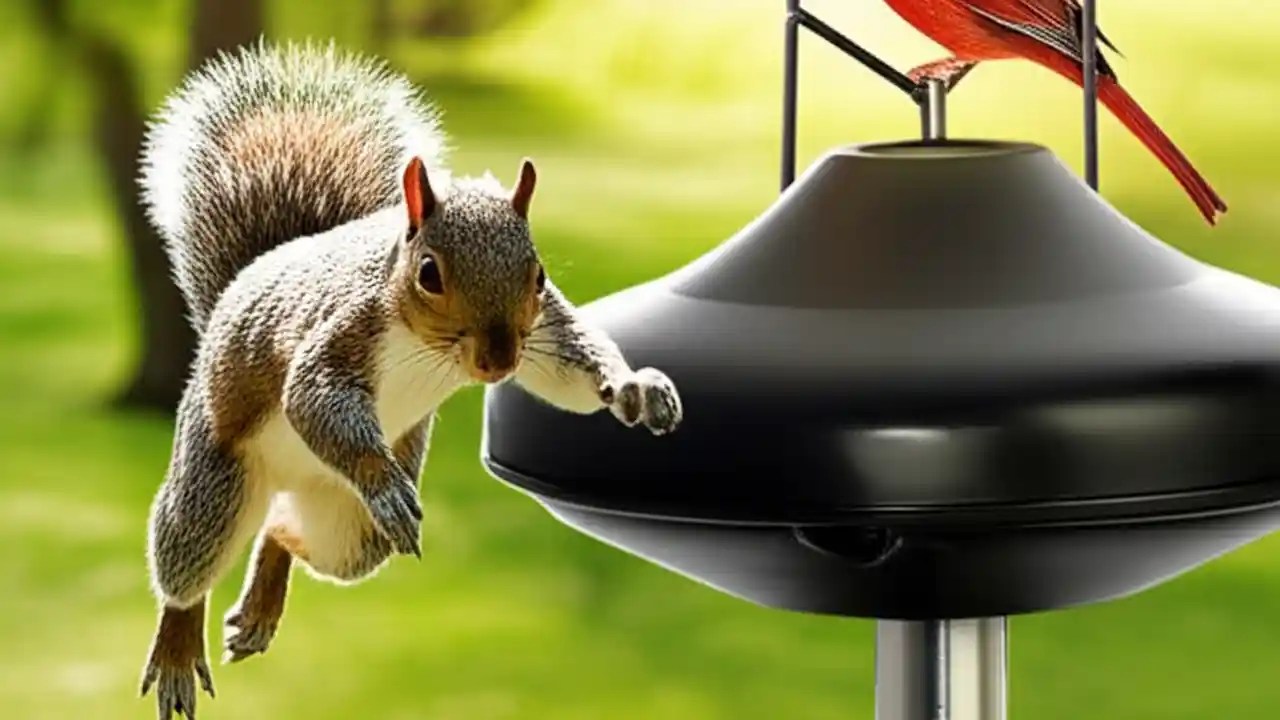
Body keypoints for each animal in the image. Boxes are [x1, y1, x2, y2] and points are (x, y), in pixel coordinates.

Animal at [136, 41, 683, 720]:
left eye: (538, 276)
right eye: (429, 274)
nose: (498, 363)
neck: (422, 339)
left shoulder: (543, 333)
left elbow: (570, 364)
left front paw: (633, 387)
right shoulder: (341, 329)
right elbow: (311, 395)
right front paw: (385, 483)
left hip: (349, 531)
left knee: (283, 530)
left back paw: (260, 604)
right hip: (216, 473)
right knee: (189, 561)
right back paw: (177, 652)